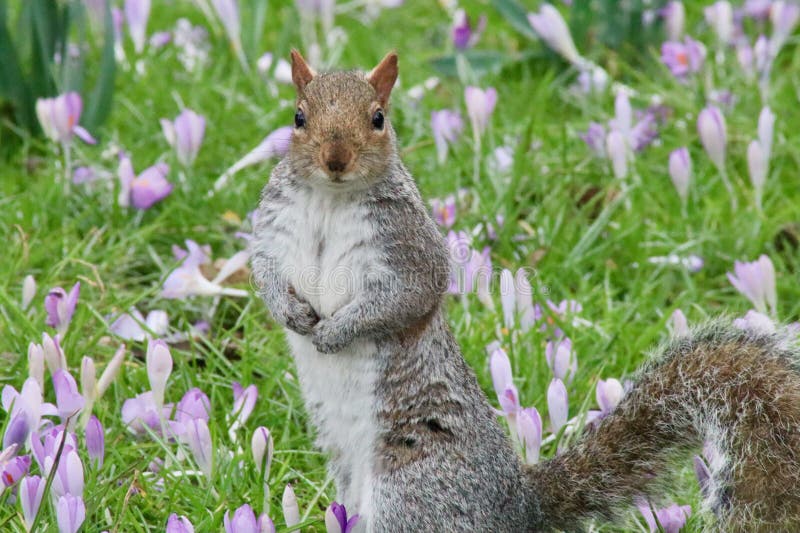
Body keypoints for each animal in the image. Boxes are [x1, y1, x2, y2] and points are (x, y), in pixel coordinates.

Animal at [251, 50, 800, 532]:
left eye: (378, 118)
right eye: (298, 117)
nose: (335, 159)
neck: (331, 198)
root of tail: (519, 503)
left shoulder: (407, 250)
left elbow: (401, 300)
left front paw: (336, 332)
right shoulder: (273, 233)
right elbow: (264, 275)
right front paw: (292, 314)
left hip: (413, 485)